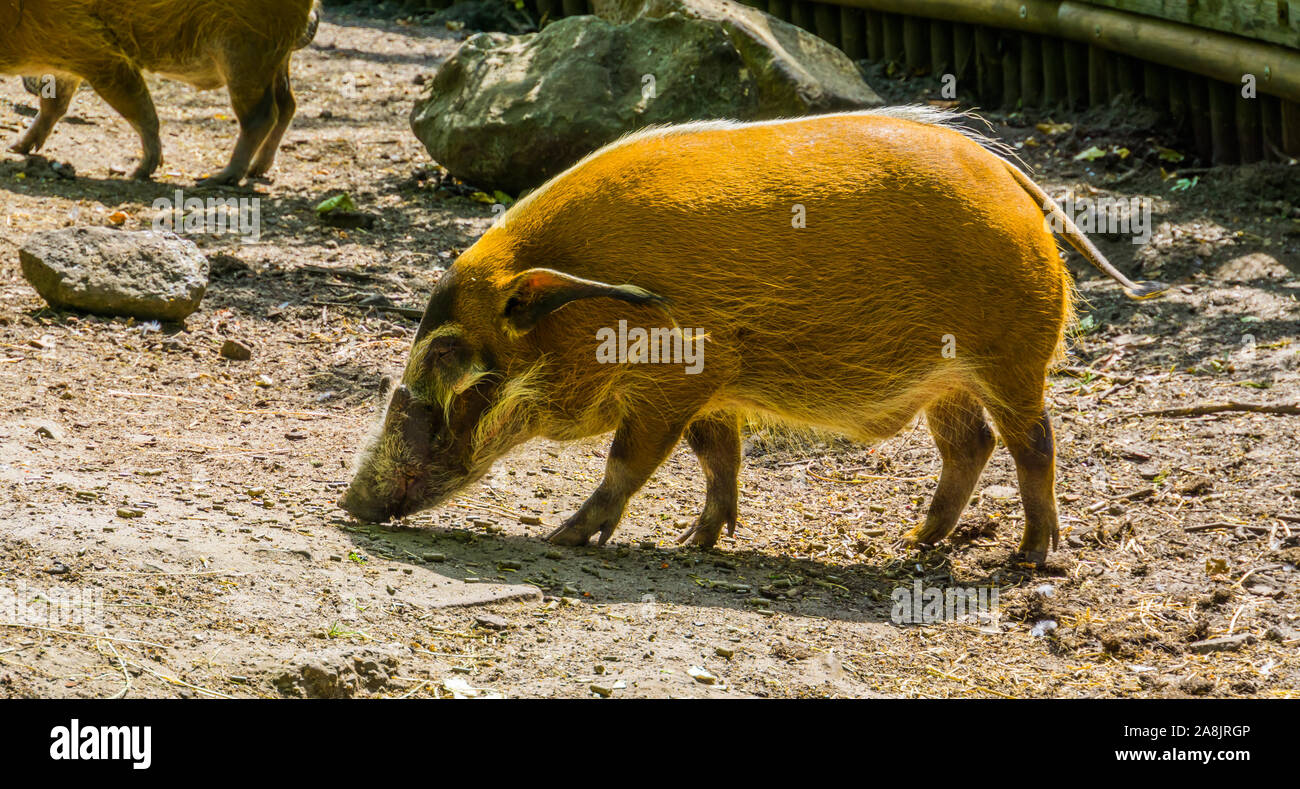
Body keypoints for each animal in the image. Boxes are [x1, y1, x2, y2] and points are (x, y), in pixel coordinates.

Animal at [1, 0, 321, 184]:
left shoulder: (101, 56)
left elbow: (142, 112)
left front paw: (139, 172)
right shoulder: (67, 61)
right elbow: (52, 106)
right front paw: (17, 148)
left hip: (246, 57)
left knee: (262, 116)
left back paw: (216, 178)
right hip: (275, 60)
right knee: (288, 106)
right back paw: (256, 171)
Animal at [339, 106, 1164, 564]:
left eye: (451, 359)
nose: (349, 503)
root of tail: (1016, 185)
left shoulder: (675, 381)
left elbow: (628, 463)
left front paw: (559, 537)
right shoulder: (711, 390)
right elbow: (717, 459)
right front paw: (694, 543)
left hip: (1013, 363)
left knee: (1035, 443)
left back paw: (1028, 557)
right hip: (950, 380)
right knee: (971, 445)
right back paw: (912, 541)